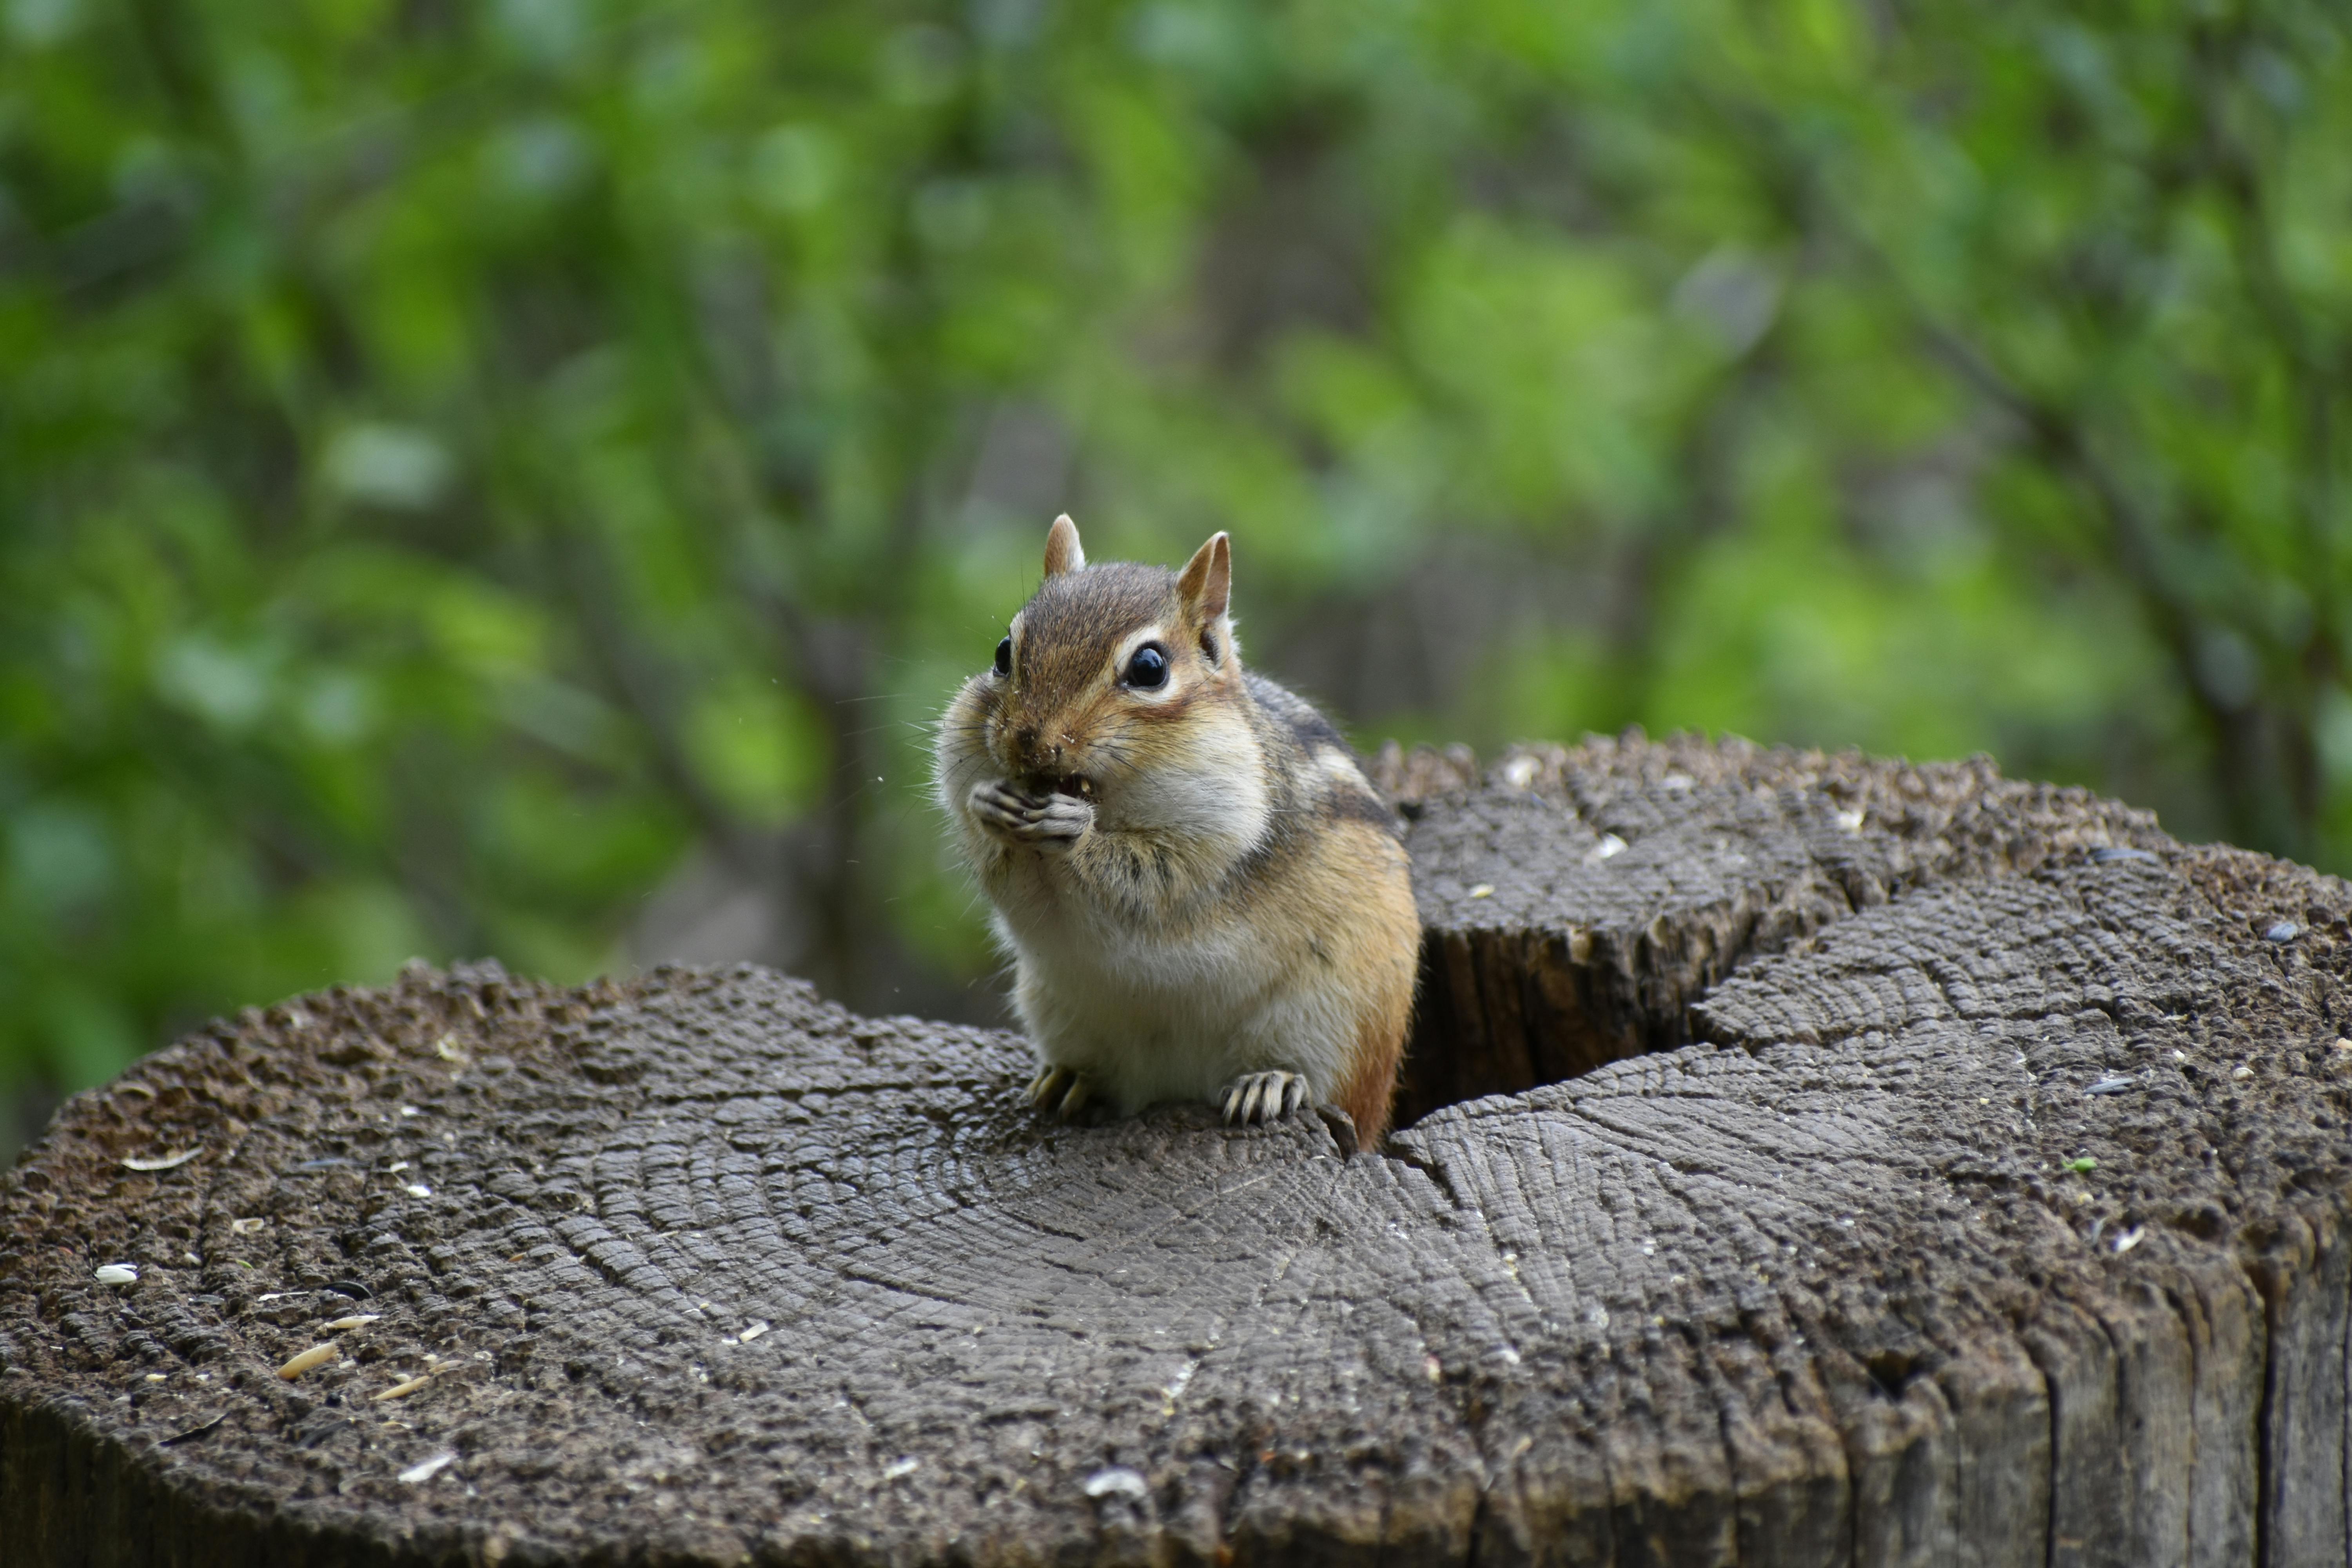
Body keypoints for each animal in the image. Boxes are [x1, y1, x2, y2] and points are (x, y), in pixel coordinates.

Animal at [934, 514, 1421, 1145]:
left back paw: (1271, 1082)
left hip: (1344, 1019)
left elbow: (1152, 878)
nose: (1029, 741)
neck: (1111, 798)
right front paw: (990, 806)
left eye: (1149, 668)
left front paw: (1075, 832)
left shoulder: (1221, 836)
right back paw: (1072, 1080)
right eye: (1002, 653)